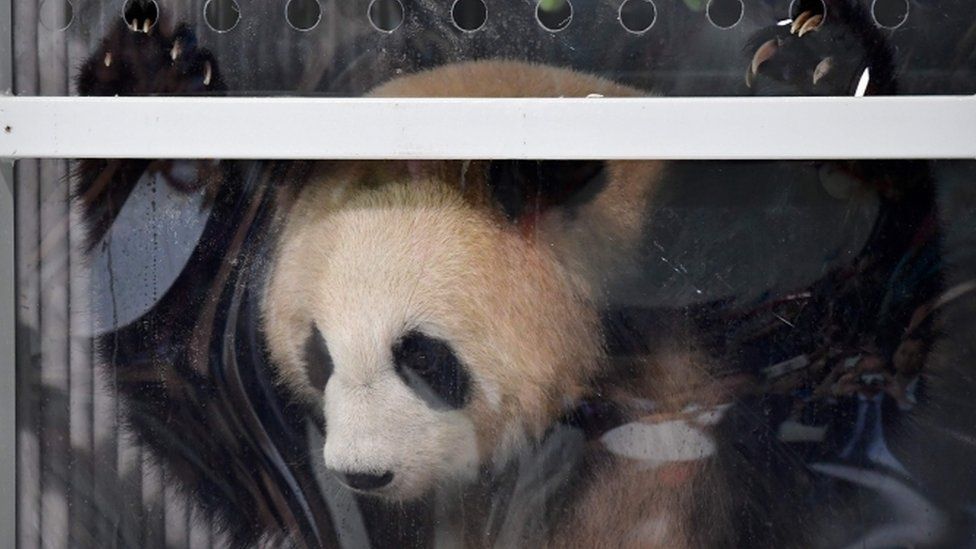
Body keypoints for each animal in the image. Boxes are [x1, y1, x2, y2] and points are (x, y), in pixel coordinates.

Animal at [71, 3, 952, 548]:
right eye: (317, 355)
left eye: (423, 353)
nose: (362, 472)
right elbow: (176, 416)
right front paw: (140, 73)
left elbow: (853, 365)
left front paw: (826, 68)